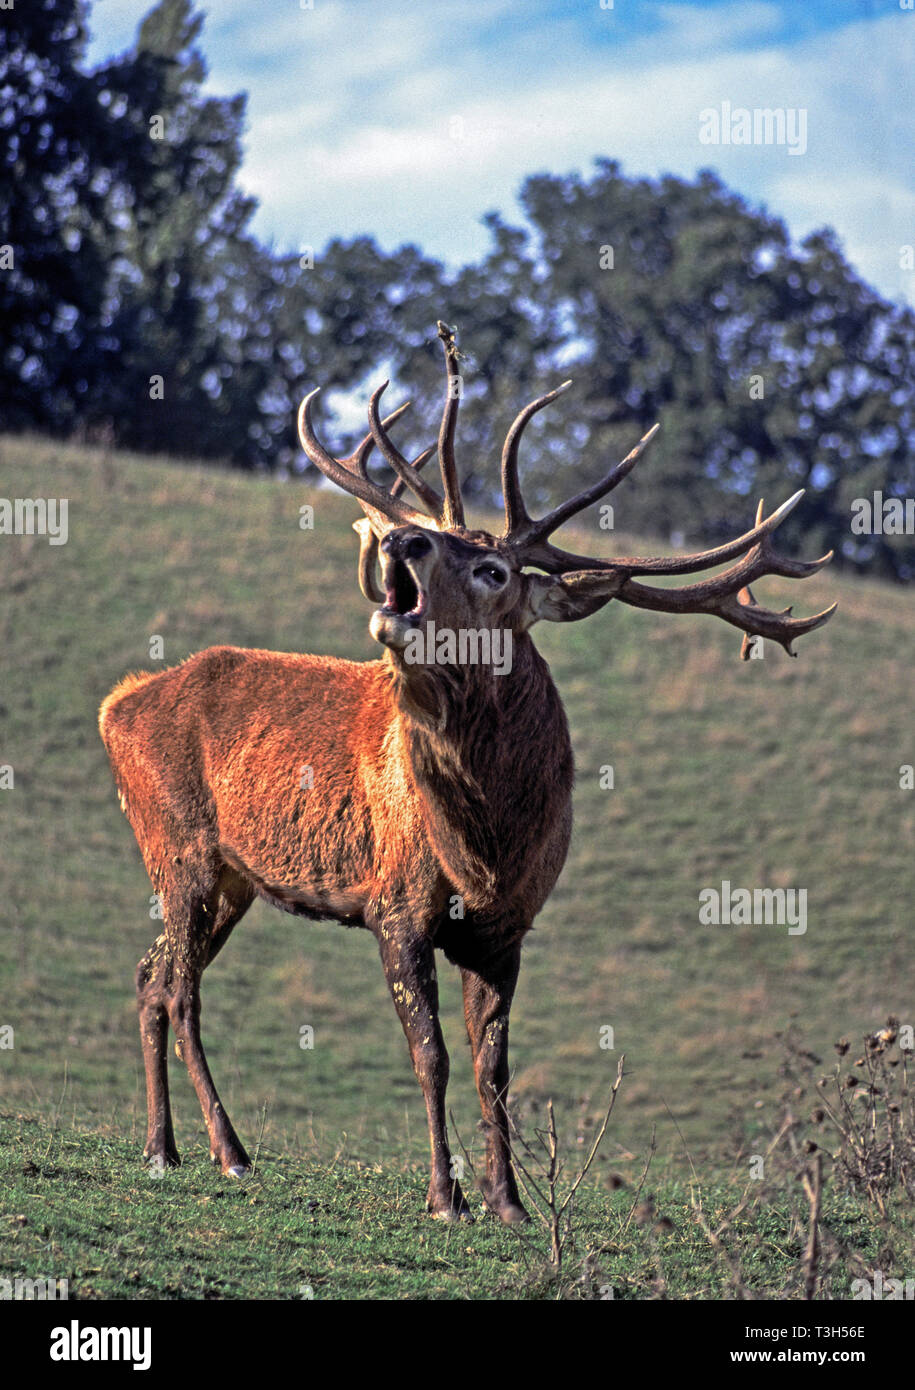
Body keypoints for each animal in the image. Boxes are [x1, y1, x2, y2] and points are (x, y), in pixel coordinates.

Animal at [99, 322, 836, 1223]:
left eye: (493, 570)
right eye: (434, 541)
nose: (400, 536)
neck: (486, 841)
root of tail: (117, 704)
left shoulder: (507, 926)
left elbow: (494, 1069)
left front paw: (508, 1201)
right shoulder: (395, 902)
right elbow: (433, 1055)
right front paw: (444, 1197)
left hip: (233, 876)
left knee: (150, 975)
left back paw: (162, 1146)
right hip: (180, 846)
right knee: (180, 989)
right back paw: (228, 1152)